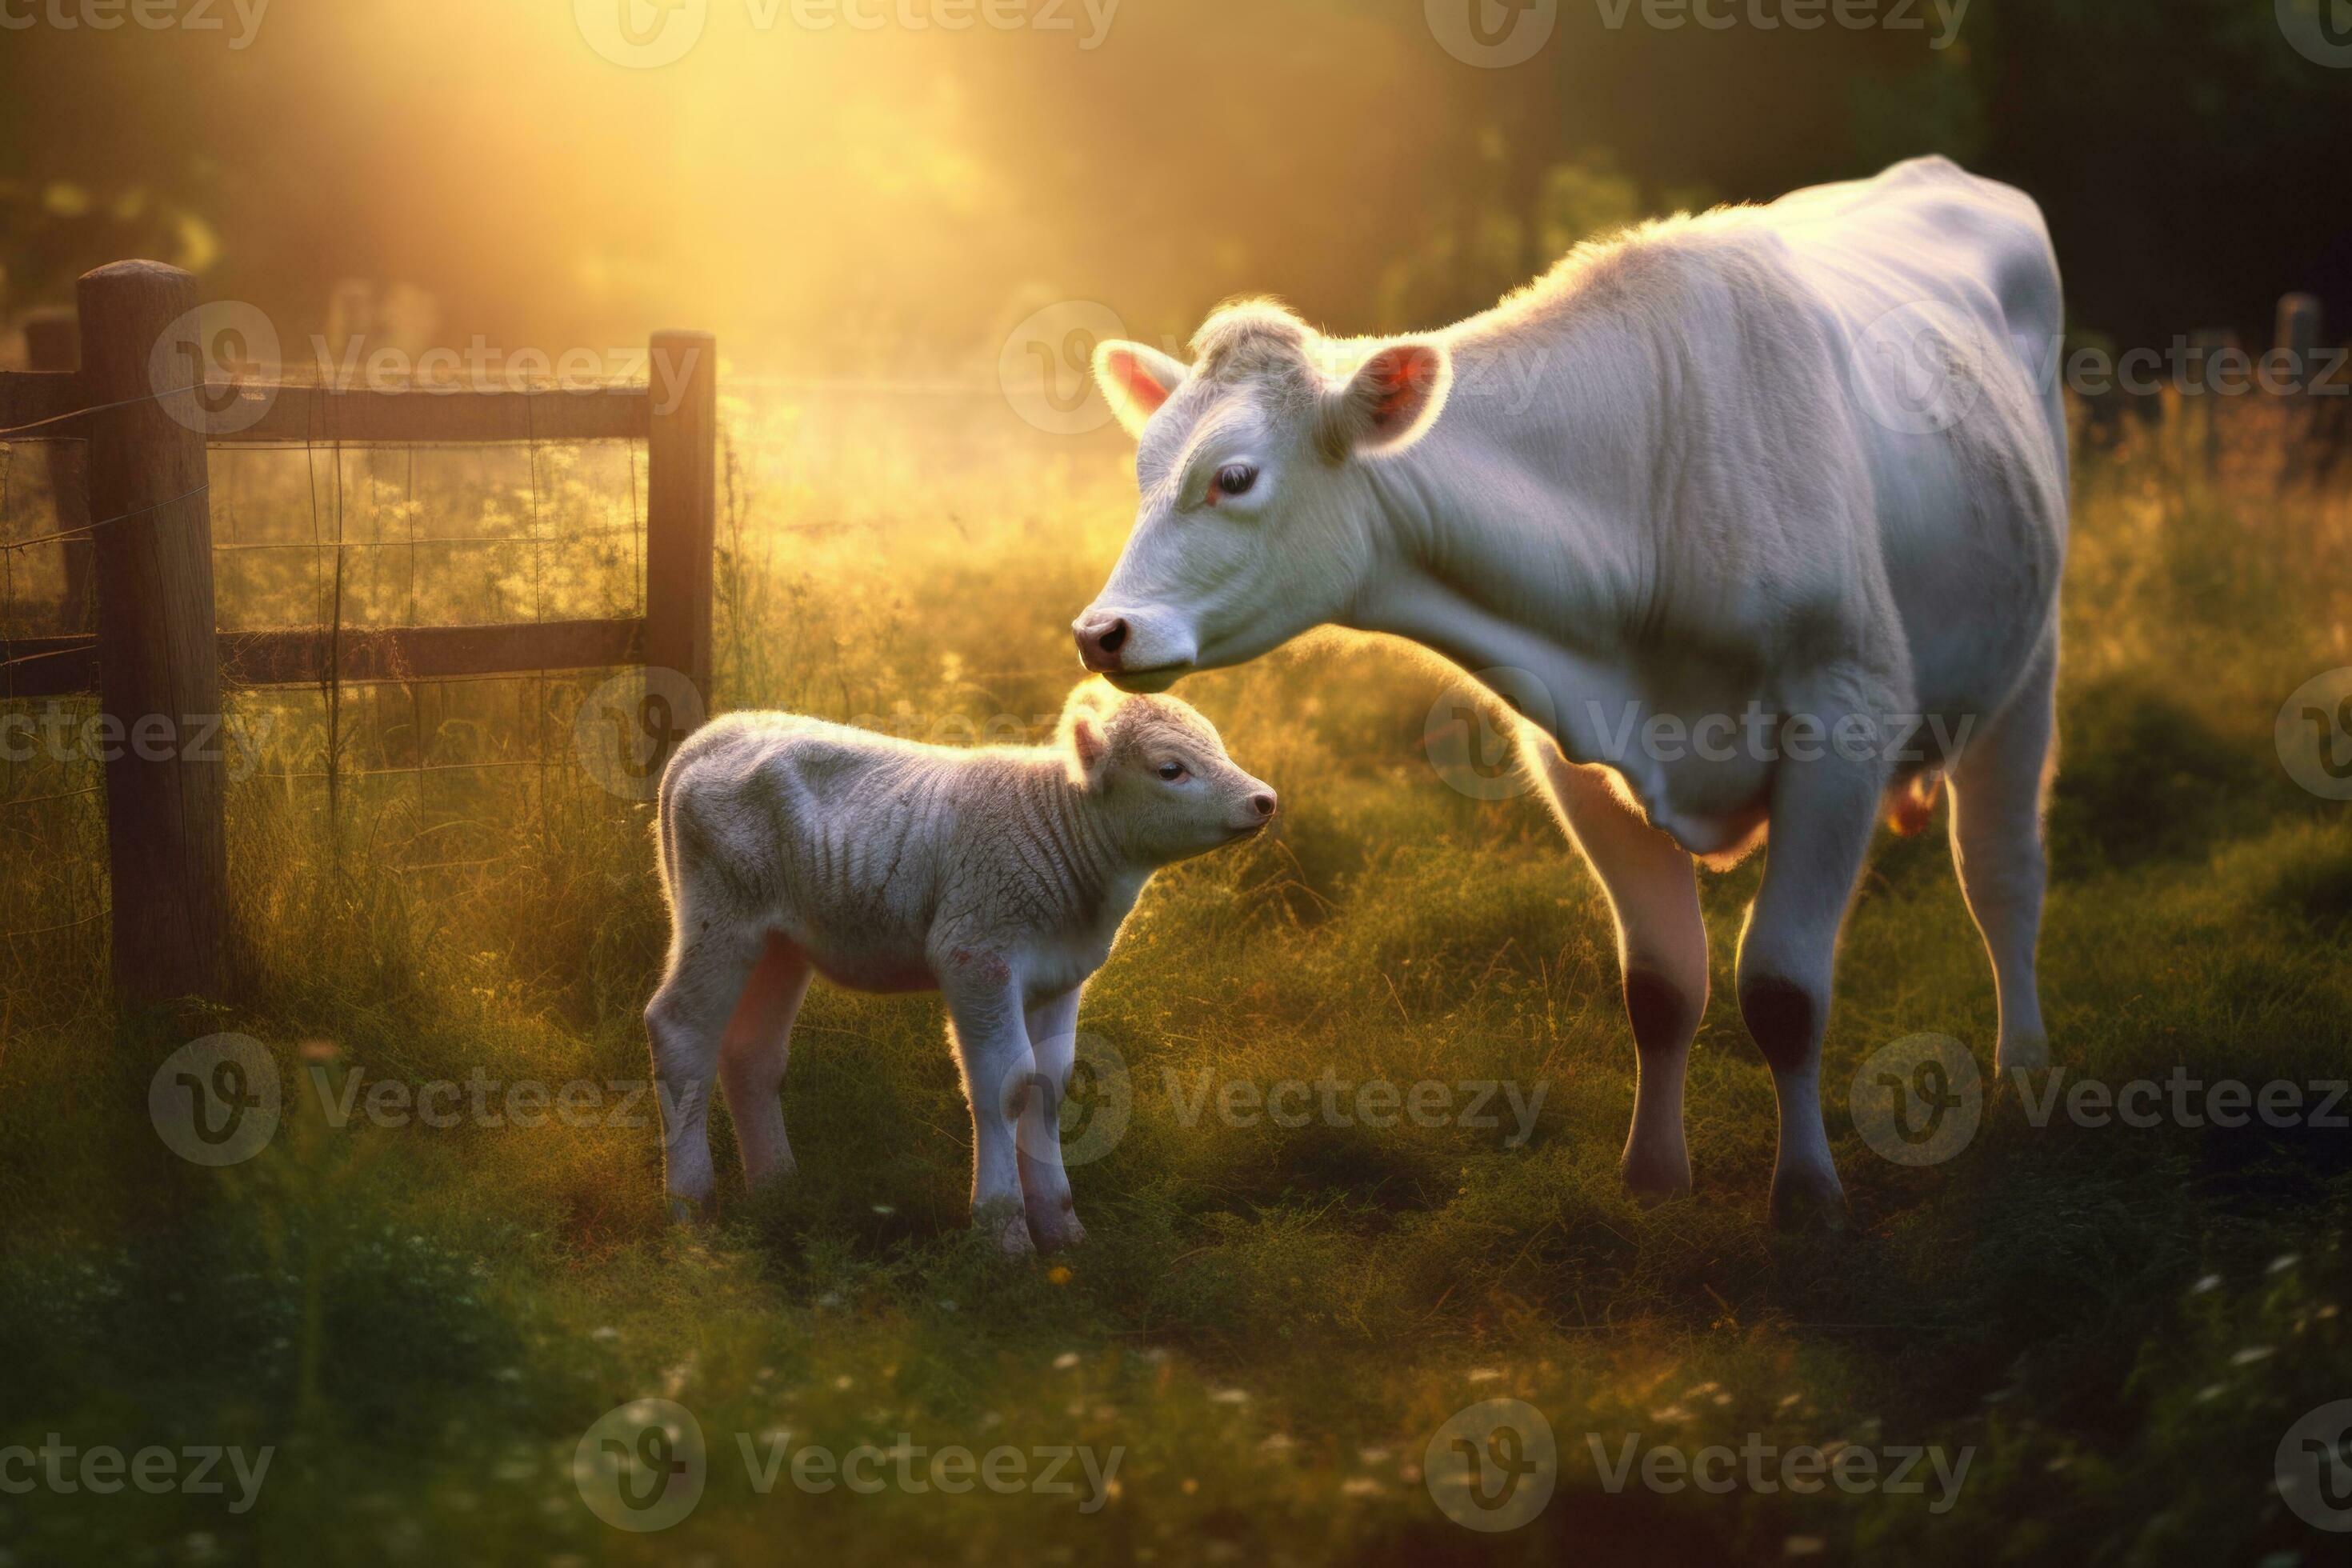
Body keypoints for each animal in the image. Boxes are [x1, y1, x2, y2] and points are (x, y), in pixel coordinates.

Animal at [1071, 156, 2067, 1227]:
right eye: (1142, 467)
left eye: (1235, 477)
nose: (1100, 631)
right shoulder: (1578, 754)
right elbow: (1662, 985)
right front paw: (1654, 1177)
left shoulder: (1844, 721)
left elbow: (1784, 988)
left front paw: (1805, 1194)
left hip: (2030, 653)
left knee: (2001, 873)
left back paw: (2024, 1069)